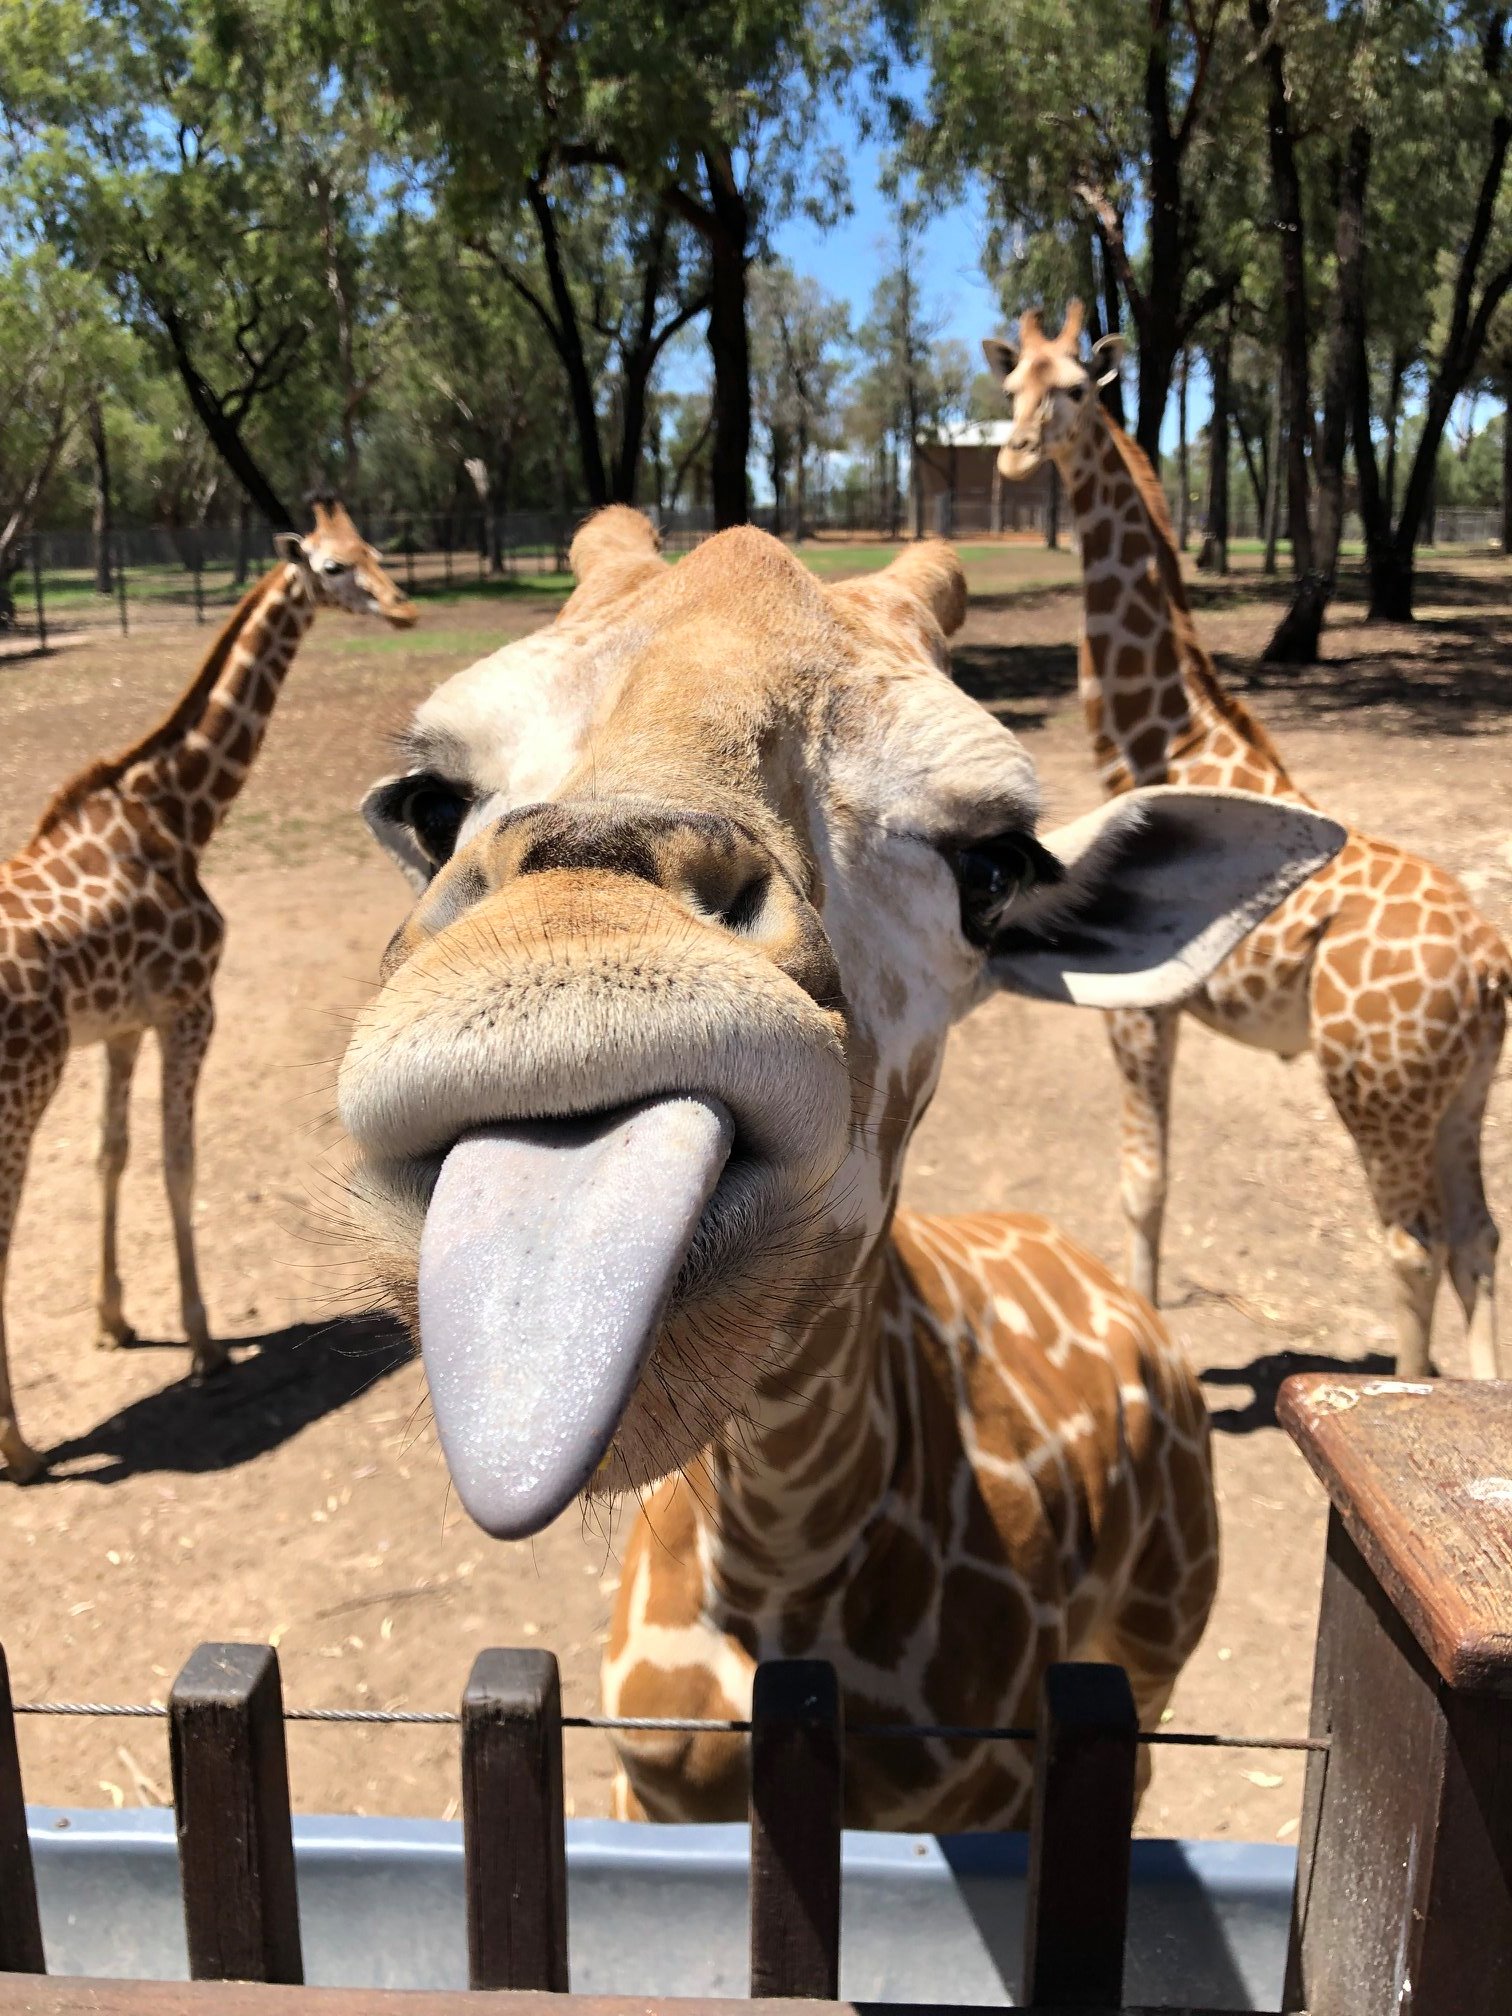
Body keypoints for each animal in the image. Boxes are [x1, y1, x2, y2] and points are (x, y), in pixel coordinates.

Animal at [0, 499, 416, 1480]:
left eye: (374, 549)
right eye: (335, 567)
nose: (403, 606)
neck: (182, 813)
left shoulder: (123, 1022)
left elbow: (113, 1154)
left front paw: (115, 1321)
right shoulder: (193, 1004)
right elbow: (178, 1161)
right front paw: (203, 1344)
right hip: (21, 1087)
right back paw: (21, 1448)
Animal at [338, 506, 1342, 1827]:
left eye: (994, 865)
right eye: (431, 803)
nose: (574, 970)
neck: (777, 1575)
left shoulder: (995, 1802)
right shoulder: (648, 1792)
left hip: (1159, 1642)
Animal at [984, 304, 1512, 1381]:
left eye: (1074, 389)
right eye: (1010, 385)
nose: (1012, 455)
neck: (1160, 739)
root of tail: (1491, 967)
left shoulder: (1137, 1010)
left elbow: (1141, 1183)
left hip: (1376, 1088)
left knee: (1412, 1242)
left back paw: (1407, 1388)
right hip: (1464, 1090)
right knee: (1477, 1234)